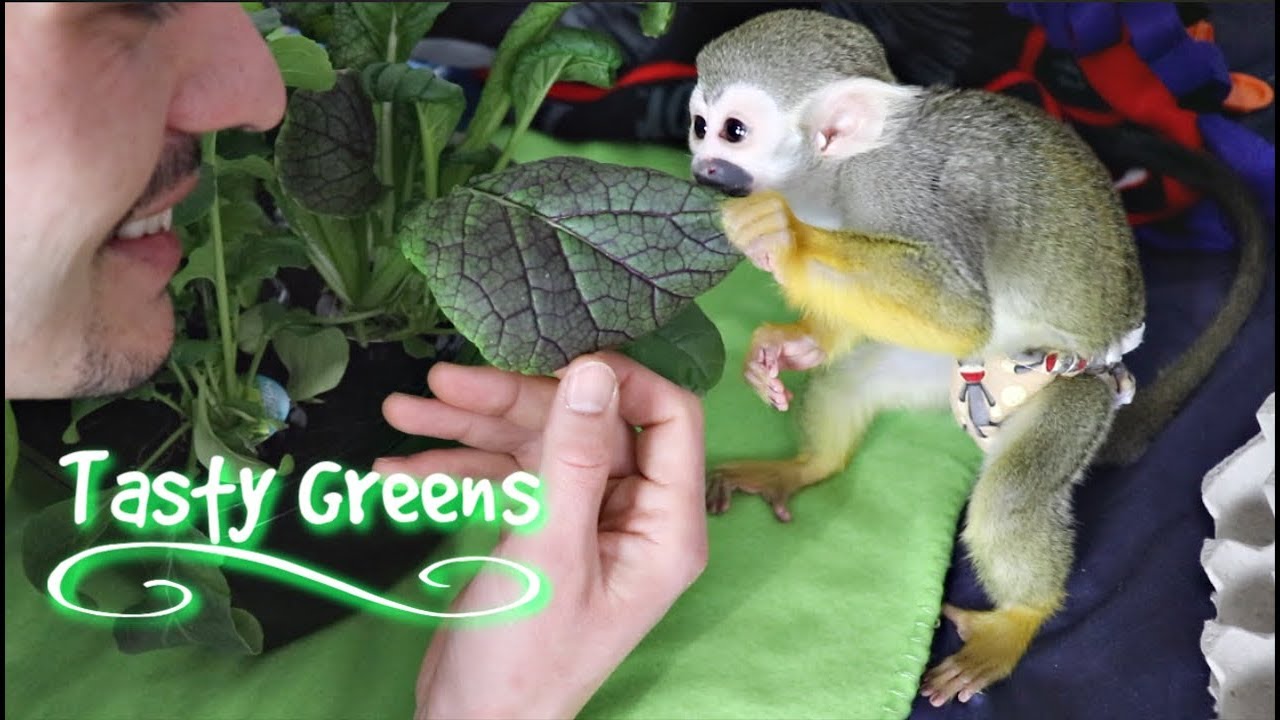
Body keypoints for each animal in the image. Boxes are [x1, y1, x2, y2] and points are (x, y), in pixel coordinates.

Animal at [686, 9, 1269, 707]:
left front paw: (783, 233)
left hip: (1072, 399)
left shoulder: (904, 196)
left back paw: (1019, 619)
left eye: (734, 130)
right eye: (698, 125)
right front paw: (789, 345)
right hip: (937, 373)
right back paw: (809, 465)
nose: (702, 167)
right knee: (850, 384)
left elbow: (960, 311)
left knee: (1010, 498)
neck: (833, 177)